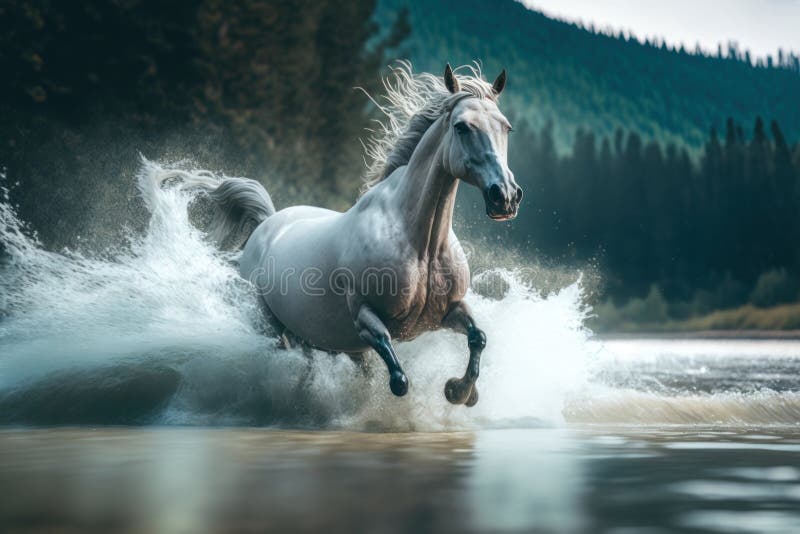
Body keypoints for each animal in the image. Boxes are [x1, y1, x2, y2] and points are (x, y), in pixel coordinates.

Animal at [167, 63, 522, 406]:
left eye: (506, 127)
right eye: (461, 127)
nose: (504, 196)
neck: (421, 244)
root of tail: (267, 222)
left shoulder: (449, 311)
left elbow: (478, 337)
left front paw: (460, 392)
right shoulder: (365, 319)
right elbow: (398, 378)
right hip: (272, 326)